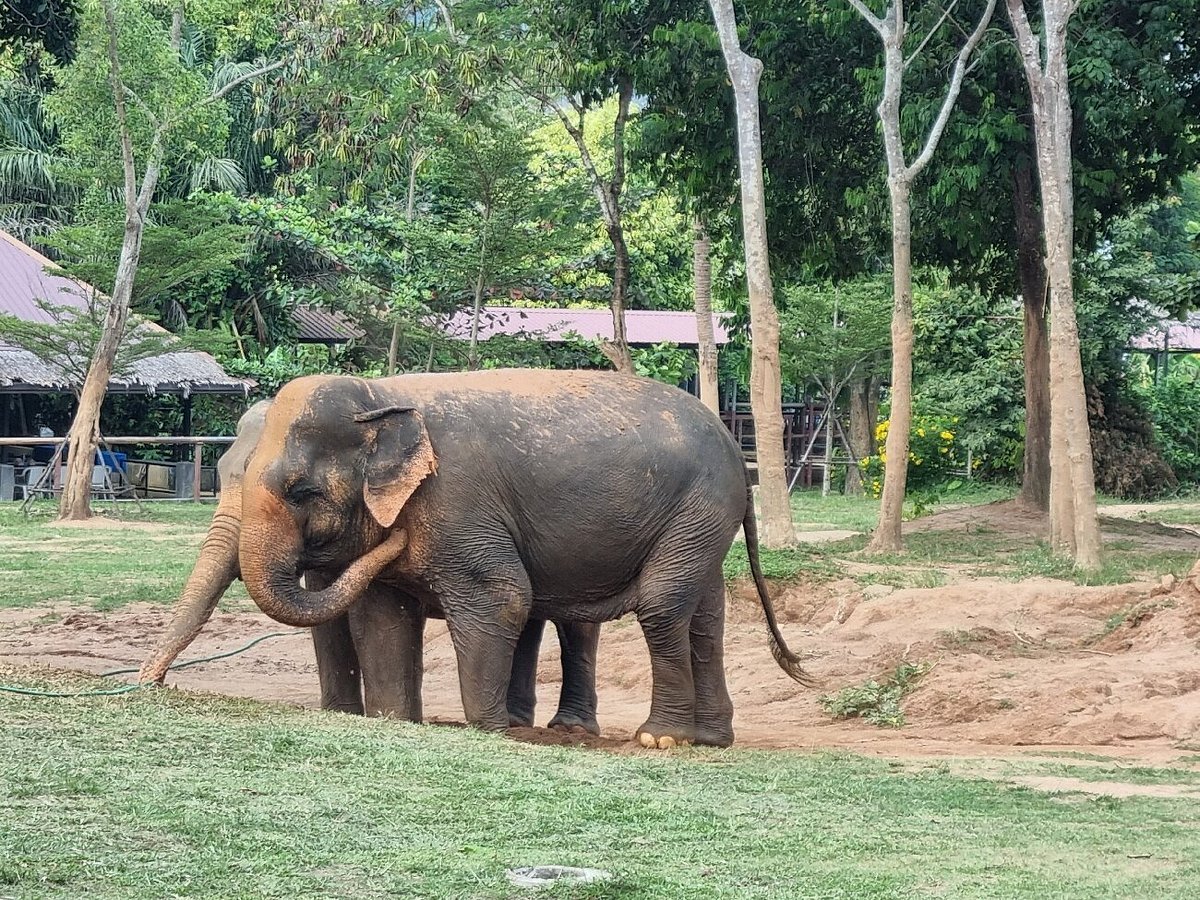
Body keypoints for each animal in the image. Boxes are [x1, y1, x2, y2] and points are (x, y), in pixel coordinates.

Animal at [137, 397, 601, 732]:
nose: (150, 684)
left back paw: (569, 728)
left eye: (301, 493)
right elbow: (328, 616)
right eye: (220, 475)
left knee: (574, 622)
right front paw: (343, 713)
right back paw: (520, 721)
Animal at [236, 369, 810, 749]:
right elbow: (383, 617)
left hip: (699, 508)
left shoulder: (458, 502)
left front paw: (491, 730)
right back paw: (712, 740)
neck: (384, 394)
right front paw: (397, 721)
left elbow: (503, 596)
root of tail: (736, 447)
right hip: (702, 521)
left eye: (302, 492)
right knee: (706, 615)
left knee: (663, 605)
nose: (398, 540)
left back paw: (660, 739)